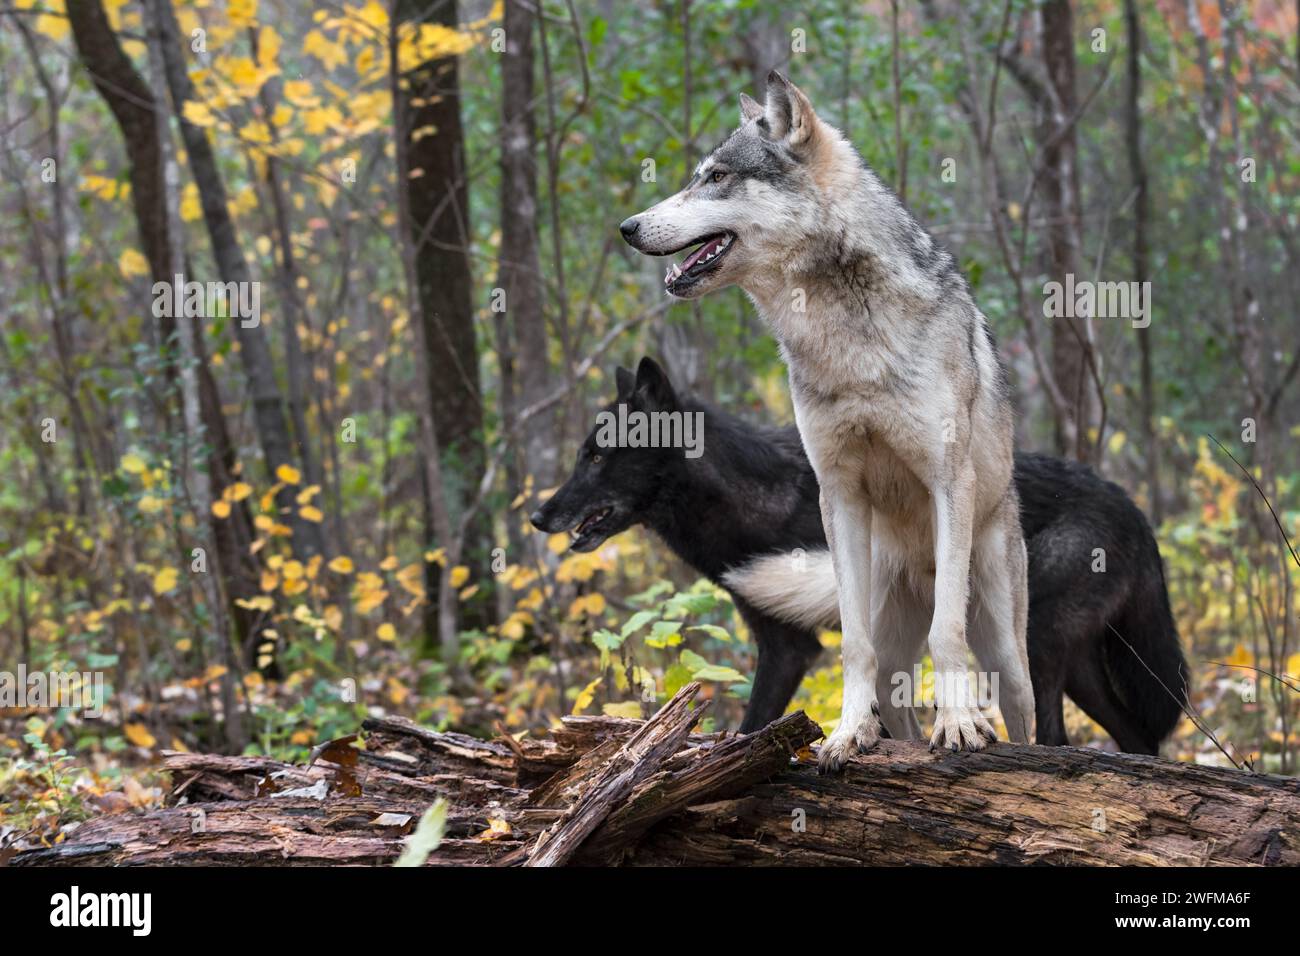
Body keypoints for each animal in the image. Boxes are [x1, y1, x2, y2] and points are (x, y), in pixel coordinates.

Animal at [531, 357, 1188, 753]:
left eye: (596, 456)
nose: (539, 517)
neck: (755, 499)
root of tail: (1134, 509)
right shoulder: (783, 639)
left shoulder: (796, 649)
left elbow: (757, 721)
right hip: (1076, 666)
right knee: (1138, 736)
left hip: (1039, 650)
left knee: (1057, 736)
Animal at [620, 71, 1034, 769]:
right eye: (696, 176)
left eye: (717, 177)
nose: (627, 227)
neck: (846, 341)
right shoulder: (837, 493)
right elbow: (852, 647)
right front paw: (846, 734)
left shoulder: (947, 481)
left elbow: (948, 633)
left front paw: (958, 724)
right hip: (886, 615)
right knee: (893, 687)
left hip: (1007, 644)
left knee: (1024, 710)